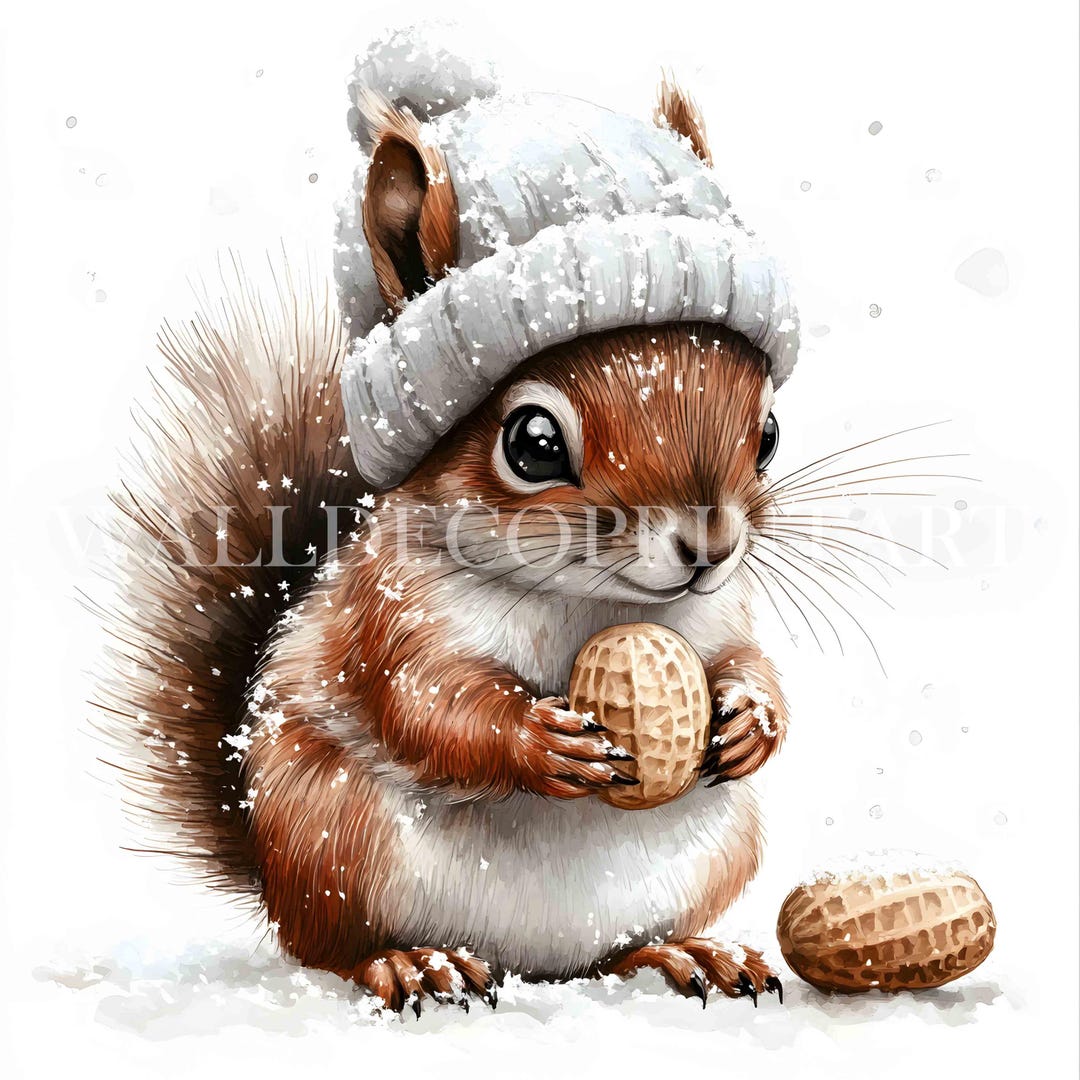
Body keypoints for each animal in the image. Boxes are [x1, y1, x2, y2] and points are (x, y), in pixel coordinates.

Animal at [97, 30, 799, 1015]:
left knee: (617, 950)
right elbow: (425, 706)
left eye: (767, 432)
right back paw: (410, 962)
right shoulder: (390, 616)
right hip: (333, 836)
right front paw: (536, 738)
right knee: (330, 947)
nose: (710, 546)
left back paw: (685, 951)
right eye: (533, 443)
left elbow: (751, 665)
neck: (591, 603)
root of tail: (530, 961)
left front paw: (749, 721)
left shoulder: (721, 615)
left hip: (709, 854)